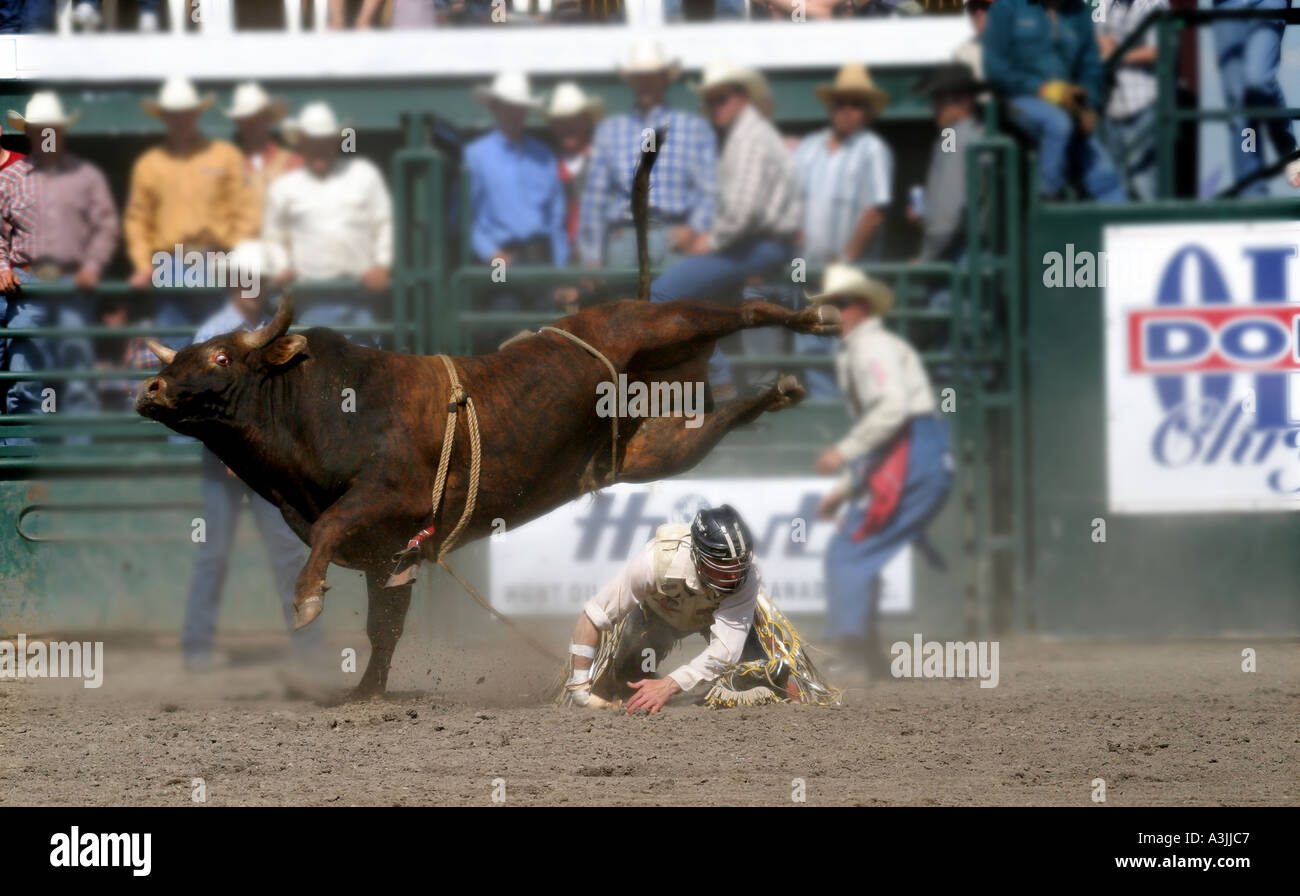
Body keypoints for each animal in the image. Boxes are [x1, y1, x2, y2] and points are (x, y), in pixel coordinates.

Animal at [135, 141, 841, 698]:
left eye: (220, 356)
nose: (151, 388)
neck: (322, 406)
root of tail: (624, 305)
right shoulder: (391, 552)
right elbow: (384, 624)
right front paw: (366, 693)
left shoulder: (391, 495)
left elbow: (333, 530)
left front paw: (306, 600)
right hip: (655, 450)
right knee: (715, 422)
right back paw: (780, 387)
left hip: (661, 326)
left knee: (741, 311)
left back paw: (813, 319)